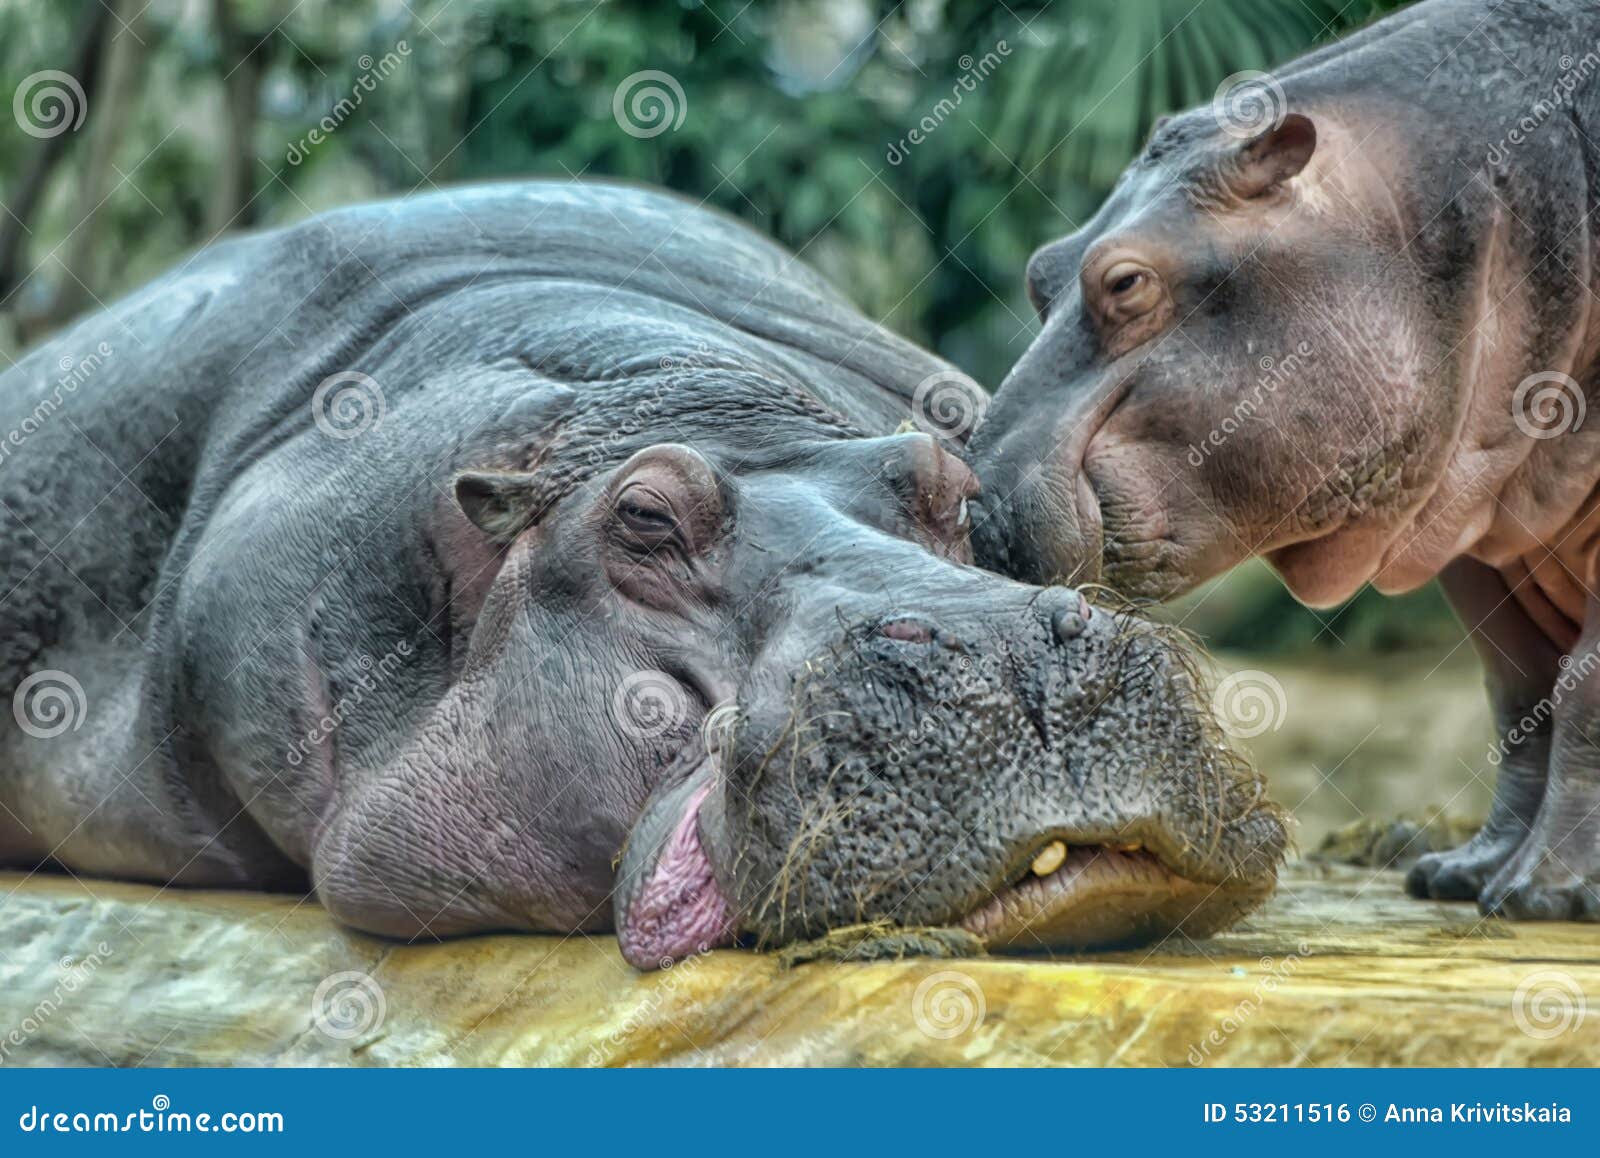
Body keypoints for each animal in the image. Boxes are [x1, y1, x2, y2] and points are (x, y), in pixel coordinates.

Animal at [968, 0, 1600, 921]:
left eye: (1124, 283)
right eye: (1039, 271)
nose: (972, 503)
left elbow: (1585, 685)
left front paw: (1541, 894)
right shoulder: (1478, 520)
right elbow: (1519, 690)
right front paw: (1462, 876)